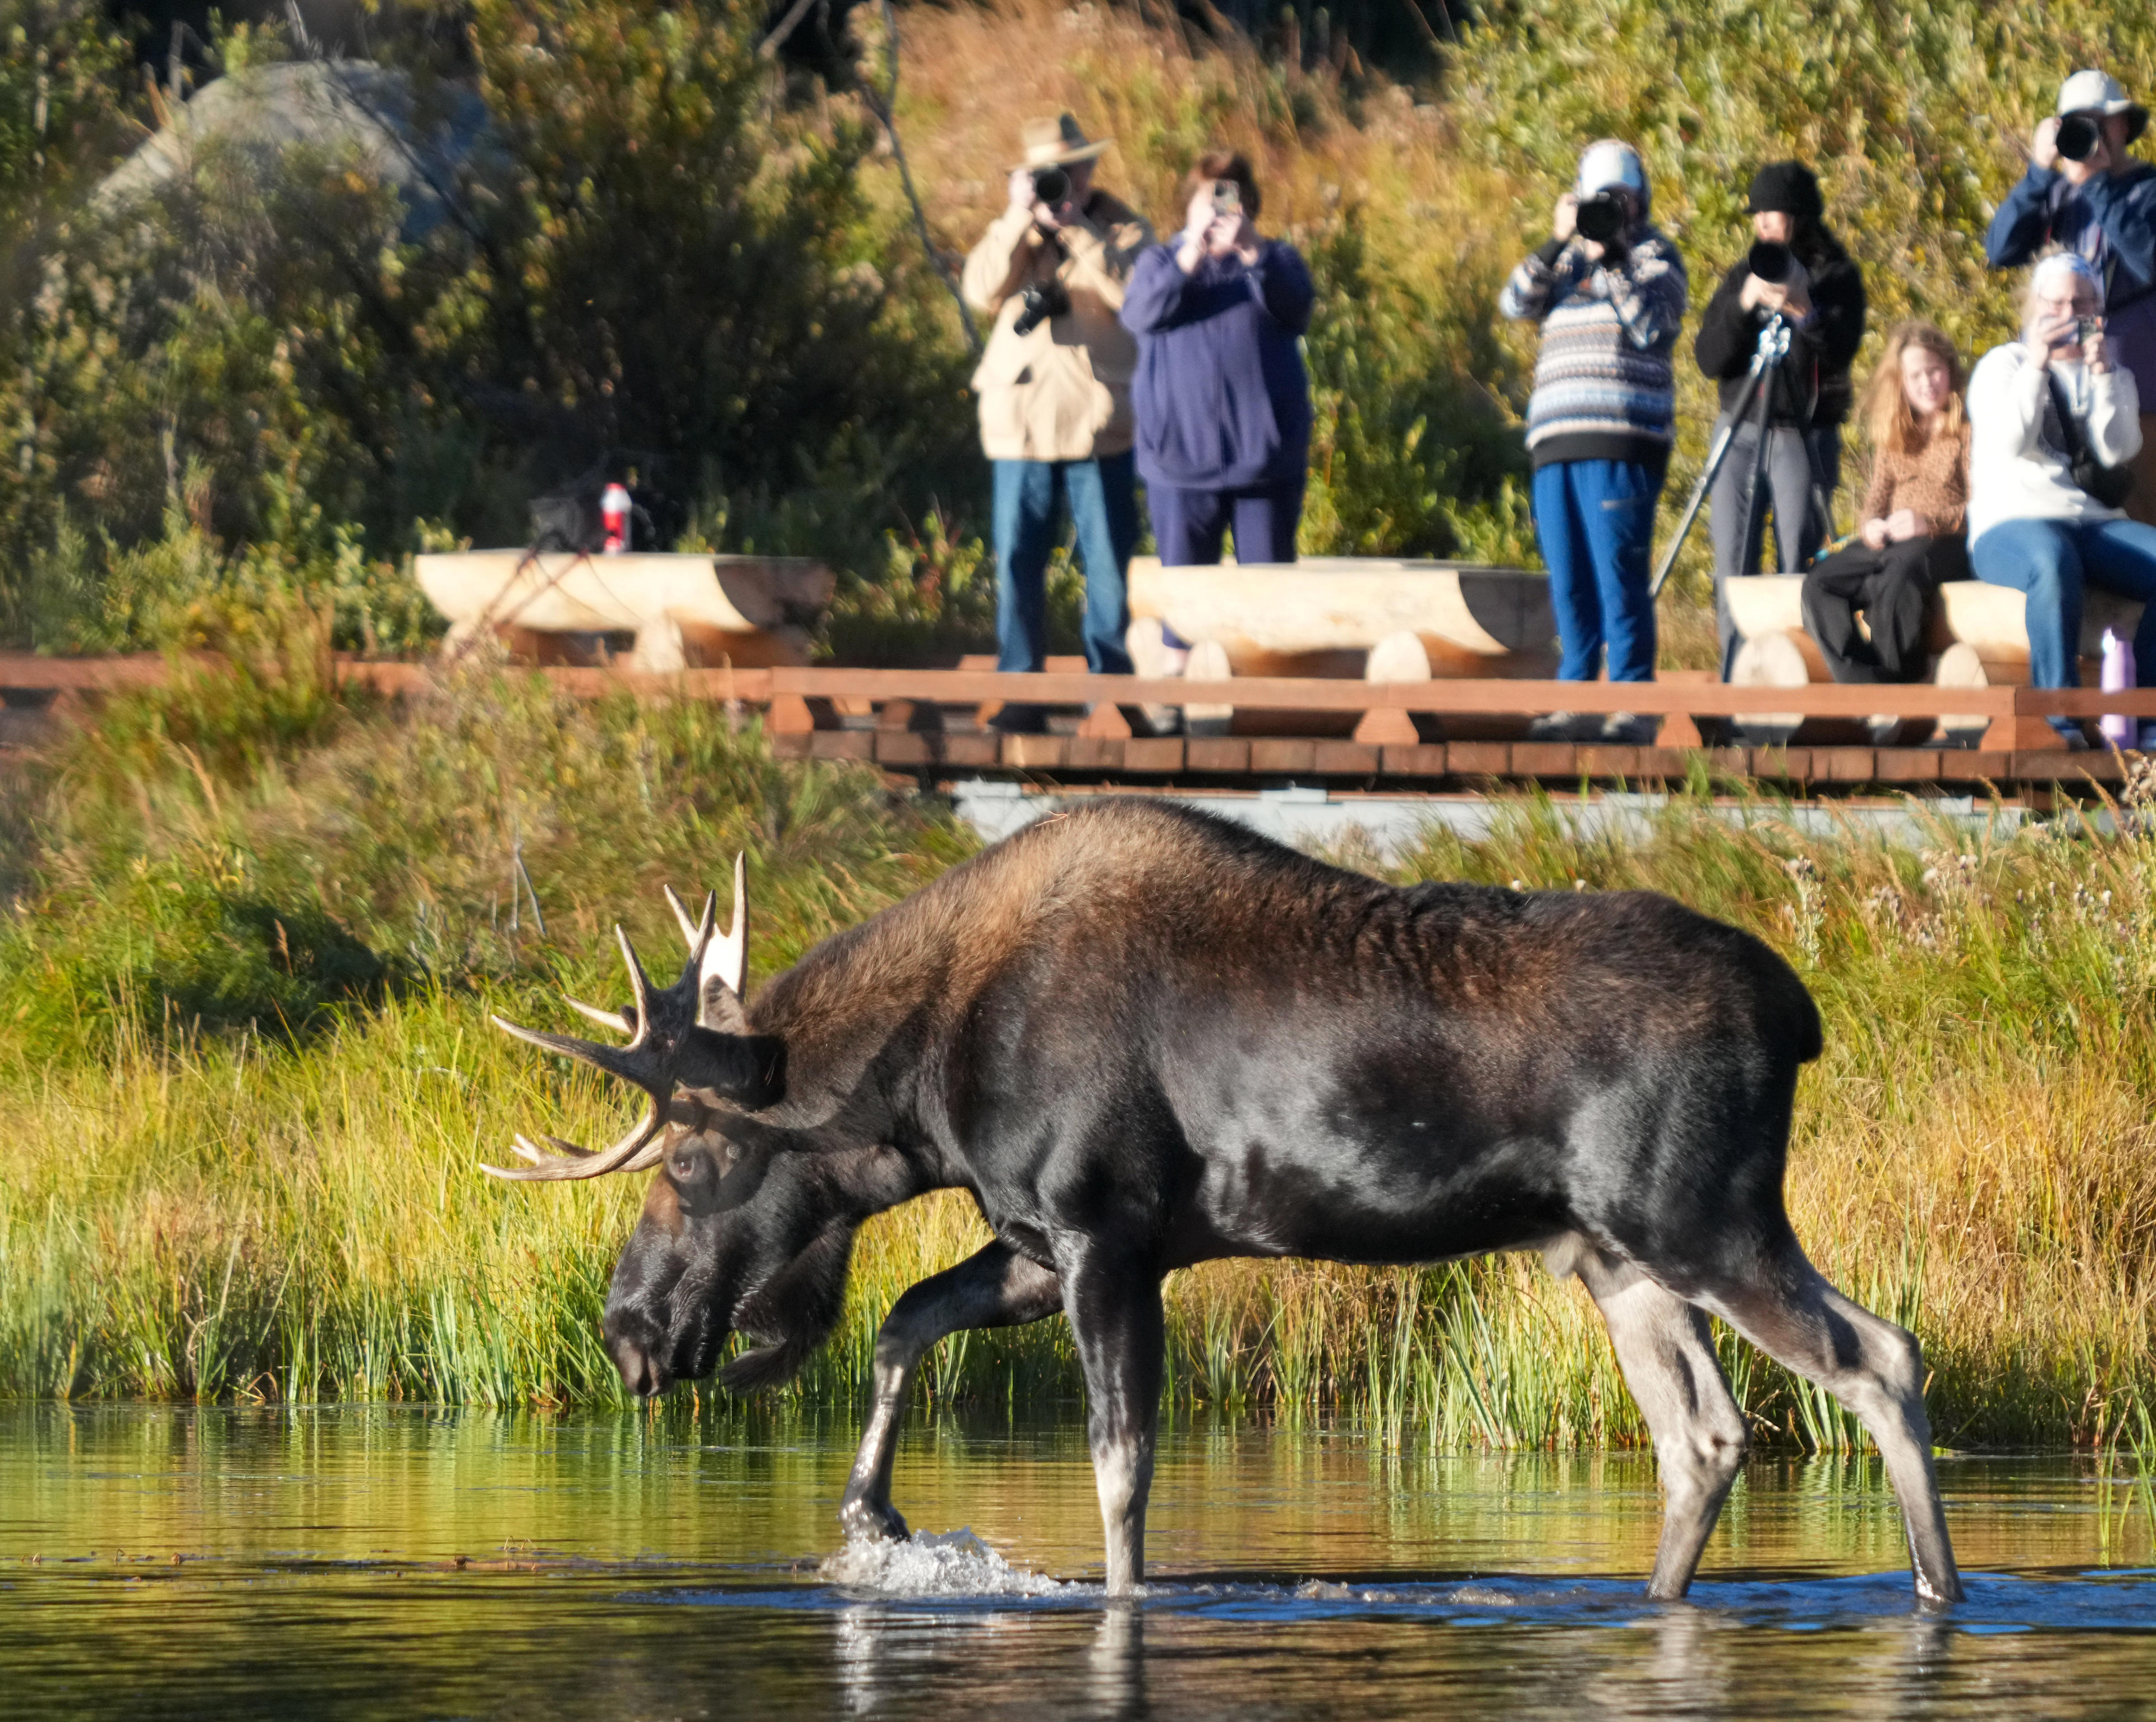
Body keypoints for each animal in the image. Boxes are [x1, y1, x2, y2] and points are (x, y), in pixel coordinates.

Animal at [488, 797, 1963, 1607]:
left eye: (686, 1164)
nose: (626, 1329)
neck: (915, 1094)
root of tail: (1802, 1015)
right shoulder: (1039, 1238)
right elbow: (907, 1316)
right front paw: (875, 1516)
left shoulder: (1104, 1230)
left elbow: (1120, 1467)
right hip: (1612, 1254)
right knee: (1704, 1434)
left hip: (1701, 1216)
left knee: (1879, 1355)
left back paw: (1938, 1591)